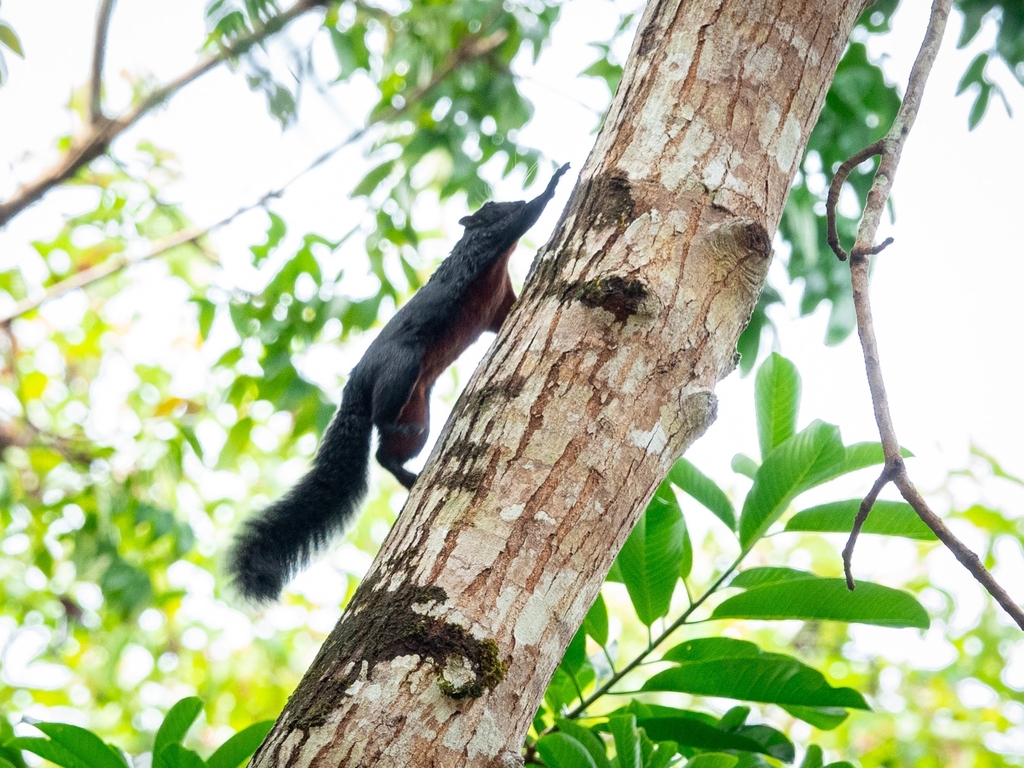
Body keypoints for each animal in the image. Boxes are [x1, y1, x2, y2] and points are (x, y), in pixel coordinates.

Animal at [227, 163, 570, 602]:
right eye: (490, 207)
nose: (510, 198)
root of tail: (355, 386)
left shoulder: (499, 305)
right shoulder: (491, 243)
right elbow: (526, 219)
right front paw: (553, 183)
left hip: (418, 406)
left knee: (387, 454)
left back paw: (408, 474)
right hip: (401, 369)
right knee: (381, 431)